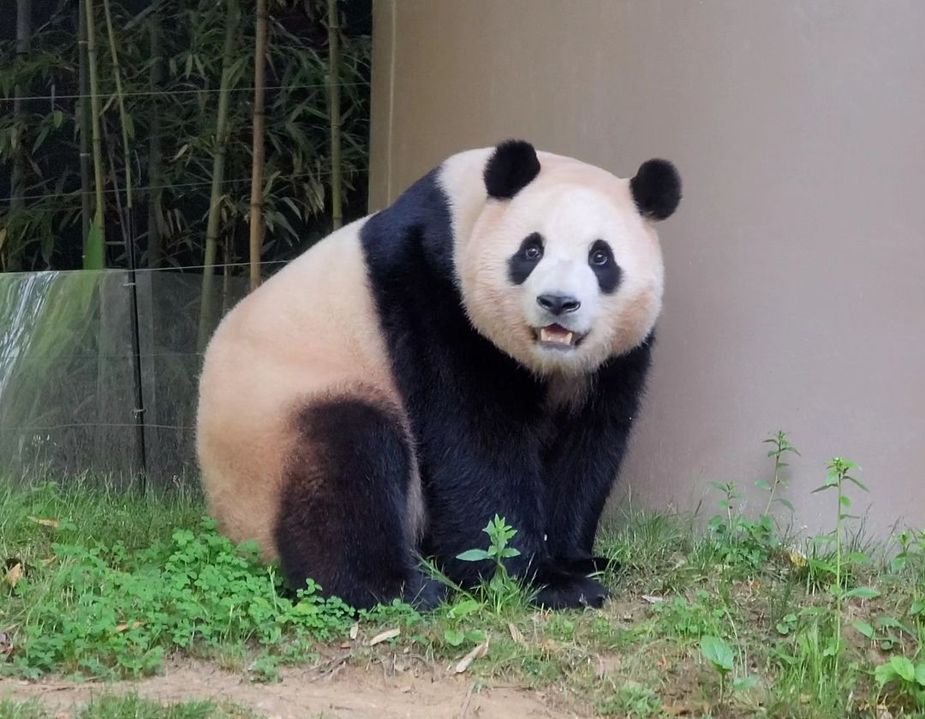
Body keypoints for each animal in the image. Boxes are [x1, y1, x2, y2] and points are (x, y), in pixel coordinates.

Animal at [196, 140, 681, 610]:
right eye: (531, 250)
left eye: (601, 257)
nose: (558, 302)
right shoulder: (431, 292)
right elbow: (473, 440)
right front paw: (541, 581)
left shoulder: (617, 359)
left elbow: (589, 443)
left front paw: (577, 560)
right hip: (284, 414)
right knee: (346, 469)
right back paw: (400, 588)